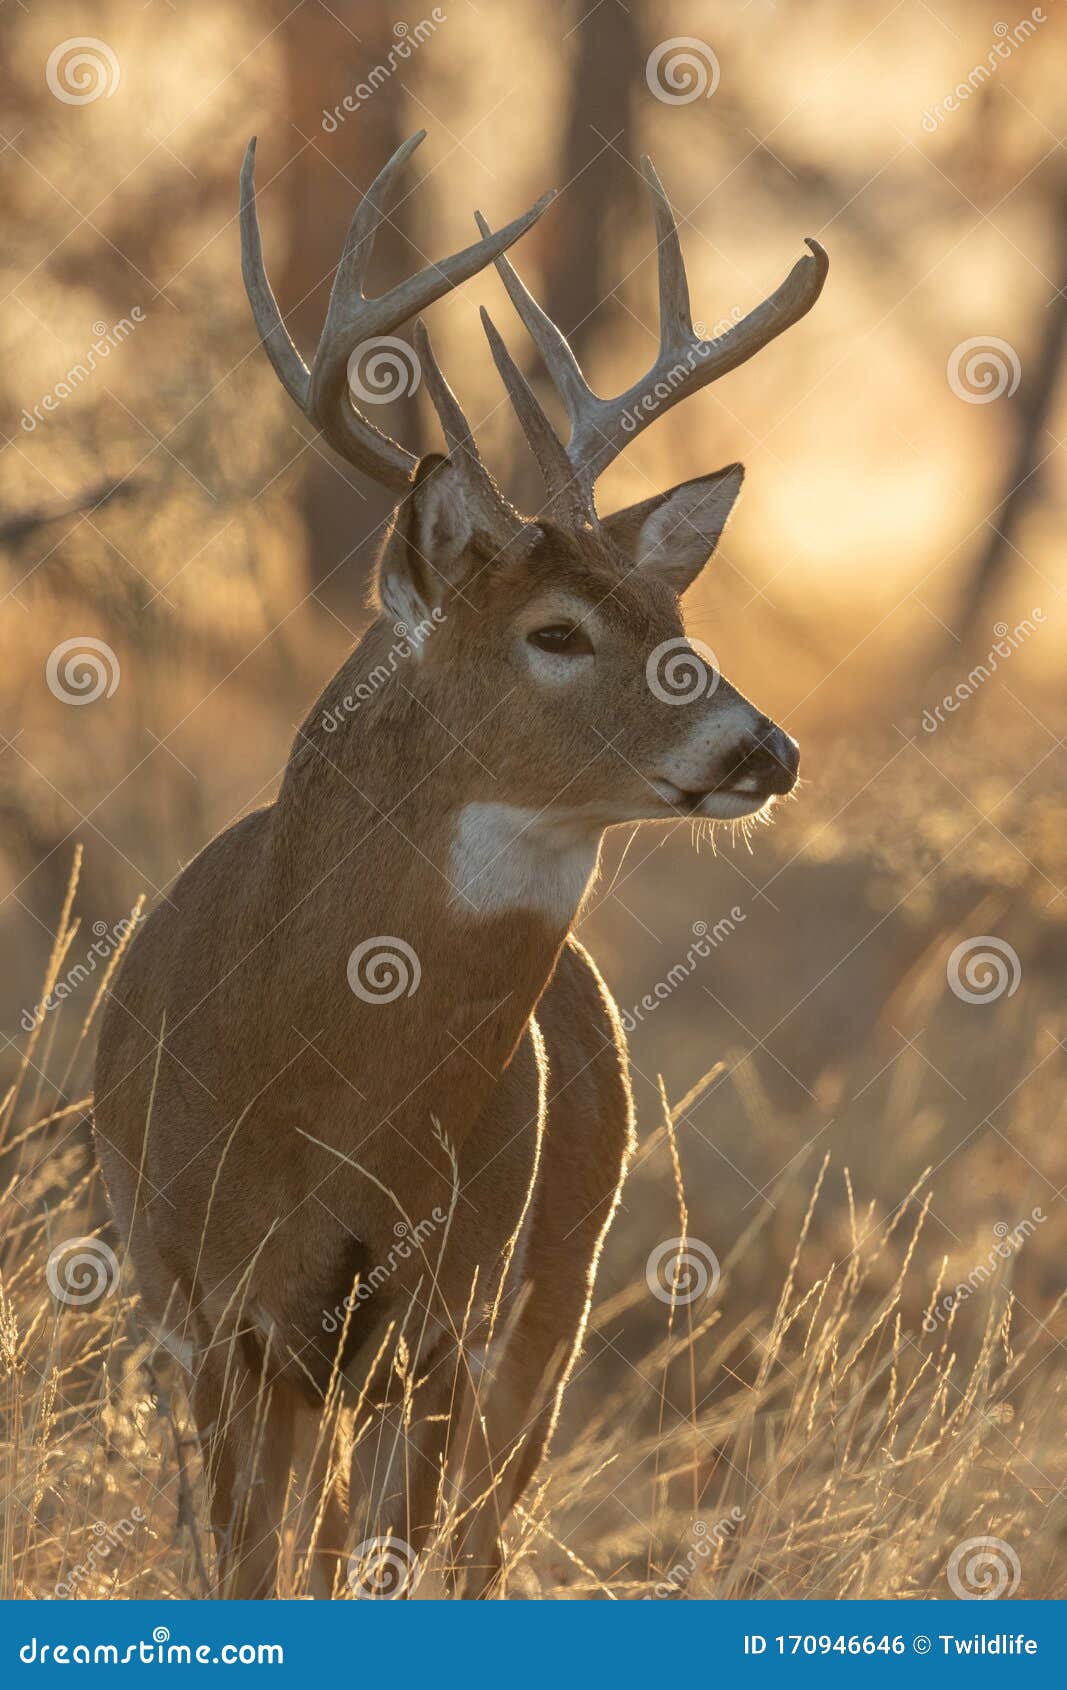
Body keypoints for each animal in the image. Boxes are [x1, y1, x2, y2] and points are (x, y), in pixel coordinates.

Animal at [92, 126, 827, 1600]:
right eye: (554, 630)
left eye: (673, 615)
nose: (762, 744)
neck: (318, 1088)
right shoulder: (210, 1305)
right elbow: (256, 1568)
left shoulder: (449, 1315)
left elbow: (379, 1564)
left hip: (550, 1305)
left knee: (468, 1541)